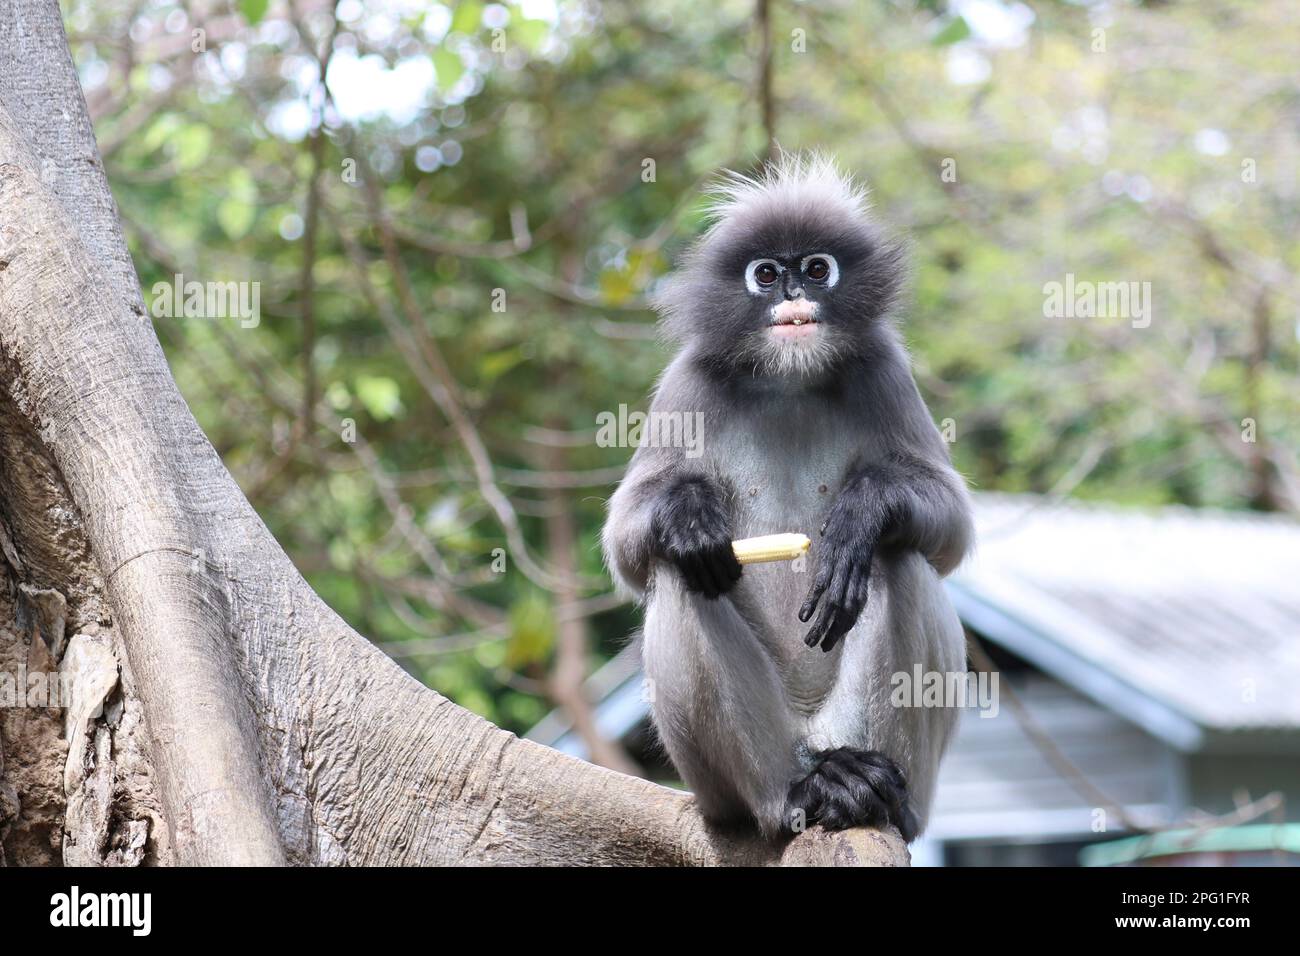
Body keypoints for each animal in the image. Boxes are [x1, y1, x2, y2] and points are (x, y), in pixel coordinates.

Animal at [601, 154, 973, 842]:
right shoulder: (687, 379)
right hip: (726, 782)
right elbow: (628, 547)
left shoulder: (886, 367)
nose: (795, 295)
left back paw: (879, 794)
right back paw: (801, 790)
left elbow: (951, 532)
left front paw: (862, 513)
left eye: (817, 269)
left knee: (902, 557)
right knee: (683, 573)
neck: (790, 381)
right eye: (767, 274)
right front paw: (687, 514)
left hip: (858, 729)